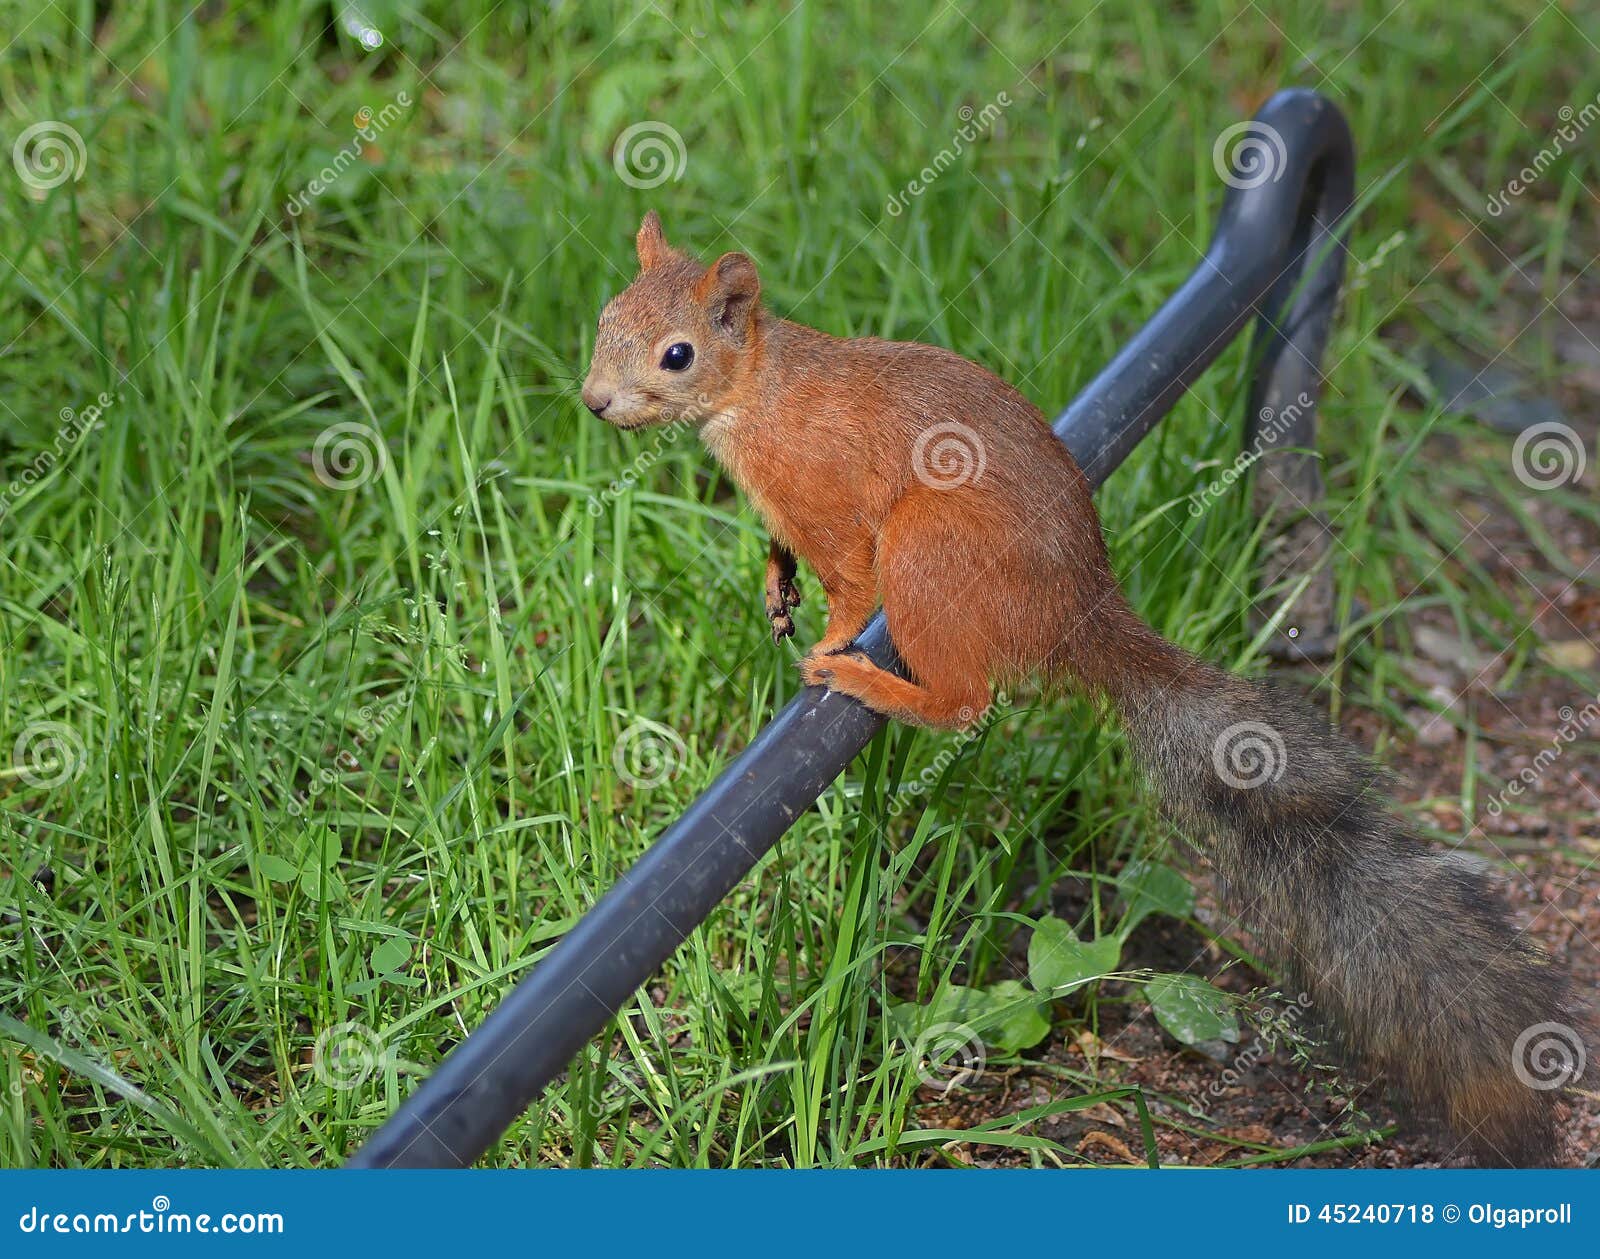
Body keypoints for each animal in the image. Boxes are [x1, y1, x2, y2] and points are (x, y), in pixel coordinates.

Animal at [581, 211, 1578, 1165]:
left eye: (678, 353)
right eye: (605, 317)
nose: (593, 401)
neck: (758, 393)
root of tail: (1076, 613)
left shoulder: (832, 503)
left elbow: (850, 581)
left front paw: (826, 639)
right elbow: (786, 554)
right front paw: (773, 580)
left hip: (932, 544)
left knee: (965, 701)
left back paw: (877, 681)